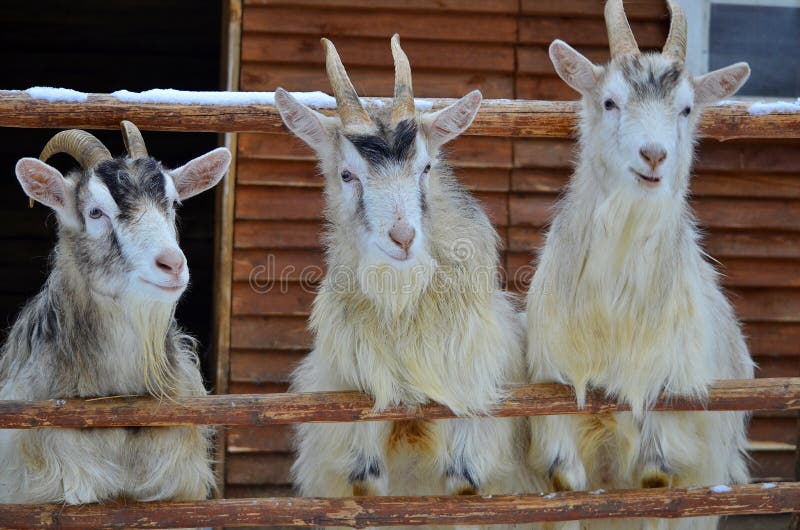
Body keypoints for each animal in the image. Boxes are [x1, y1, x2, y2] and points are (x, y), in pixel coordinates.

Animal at [275, 35, 538, 515]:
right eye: (347, 174)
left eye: (426, 168)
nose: (402, 237)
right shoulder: (354, 451)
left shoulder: (473, 442)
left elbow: (463, 488)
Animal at [525, 1, 754, 529]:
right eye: (610, 102)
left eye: (686, 109)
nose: (654, 155)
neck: (614, 318)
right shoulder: (555, 407)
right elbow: (564, 483)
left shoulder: (669, 430)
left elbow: (653, 486)